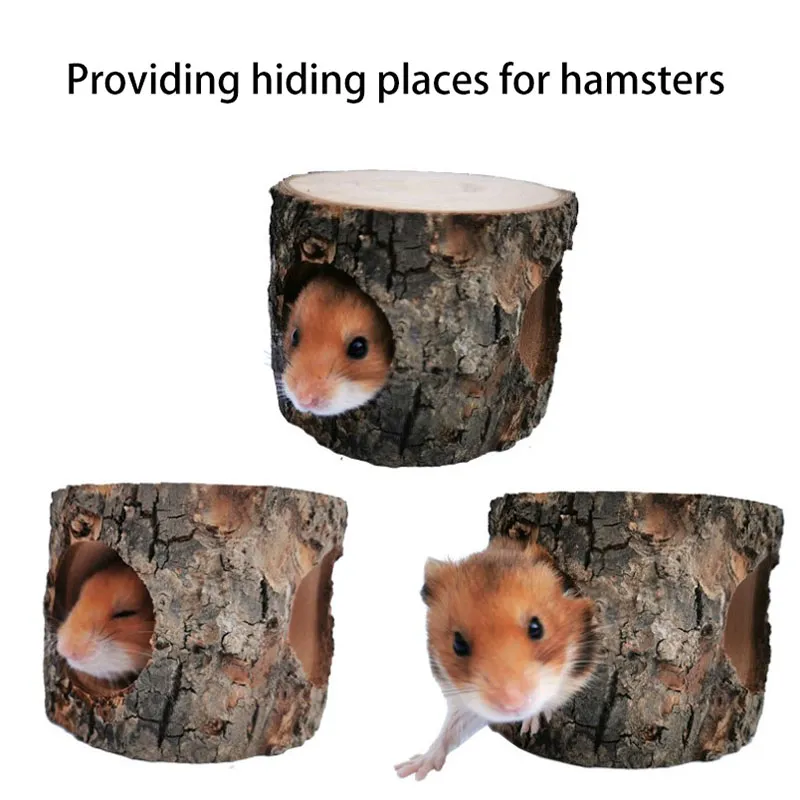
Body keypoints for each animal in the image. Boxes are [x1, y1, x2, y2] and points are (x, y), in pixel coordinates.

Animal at [395, 537, 600, 780]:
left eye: (536, 627)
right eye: (458, 644)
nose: (513, 705)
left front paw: (531, 725)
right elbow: (452, 727)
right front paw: (408, 770)